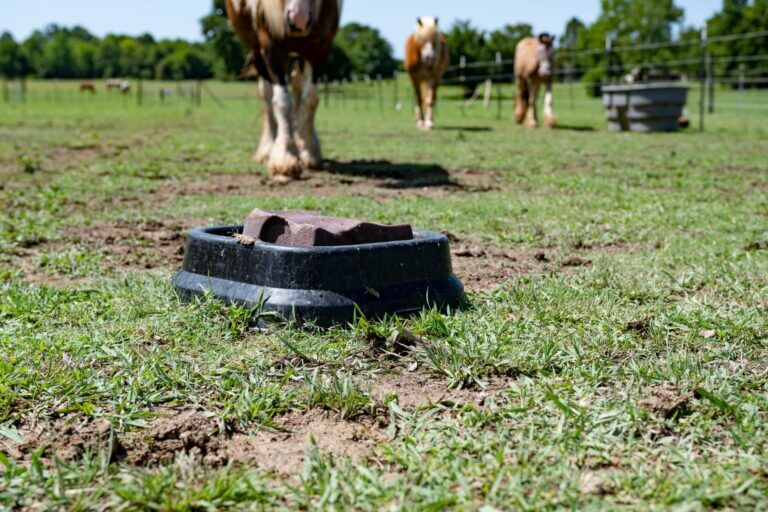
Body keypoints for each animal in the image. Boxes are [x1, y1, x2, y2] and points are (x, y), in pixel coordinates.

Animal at [226, 0, 342, 181]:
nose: (299, 18)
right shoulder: (271, 46)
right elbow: (281, 101)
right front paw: (285, 158)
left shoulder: (320, 48)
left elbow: (310, 100)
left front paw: (309, 151)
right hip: (258, 52)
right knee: (267, 95)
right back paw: (267, 148)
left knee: (297, 85)